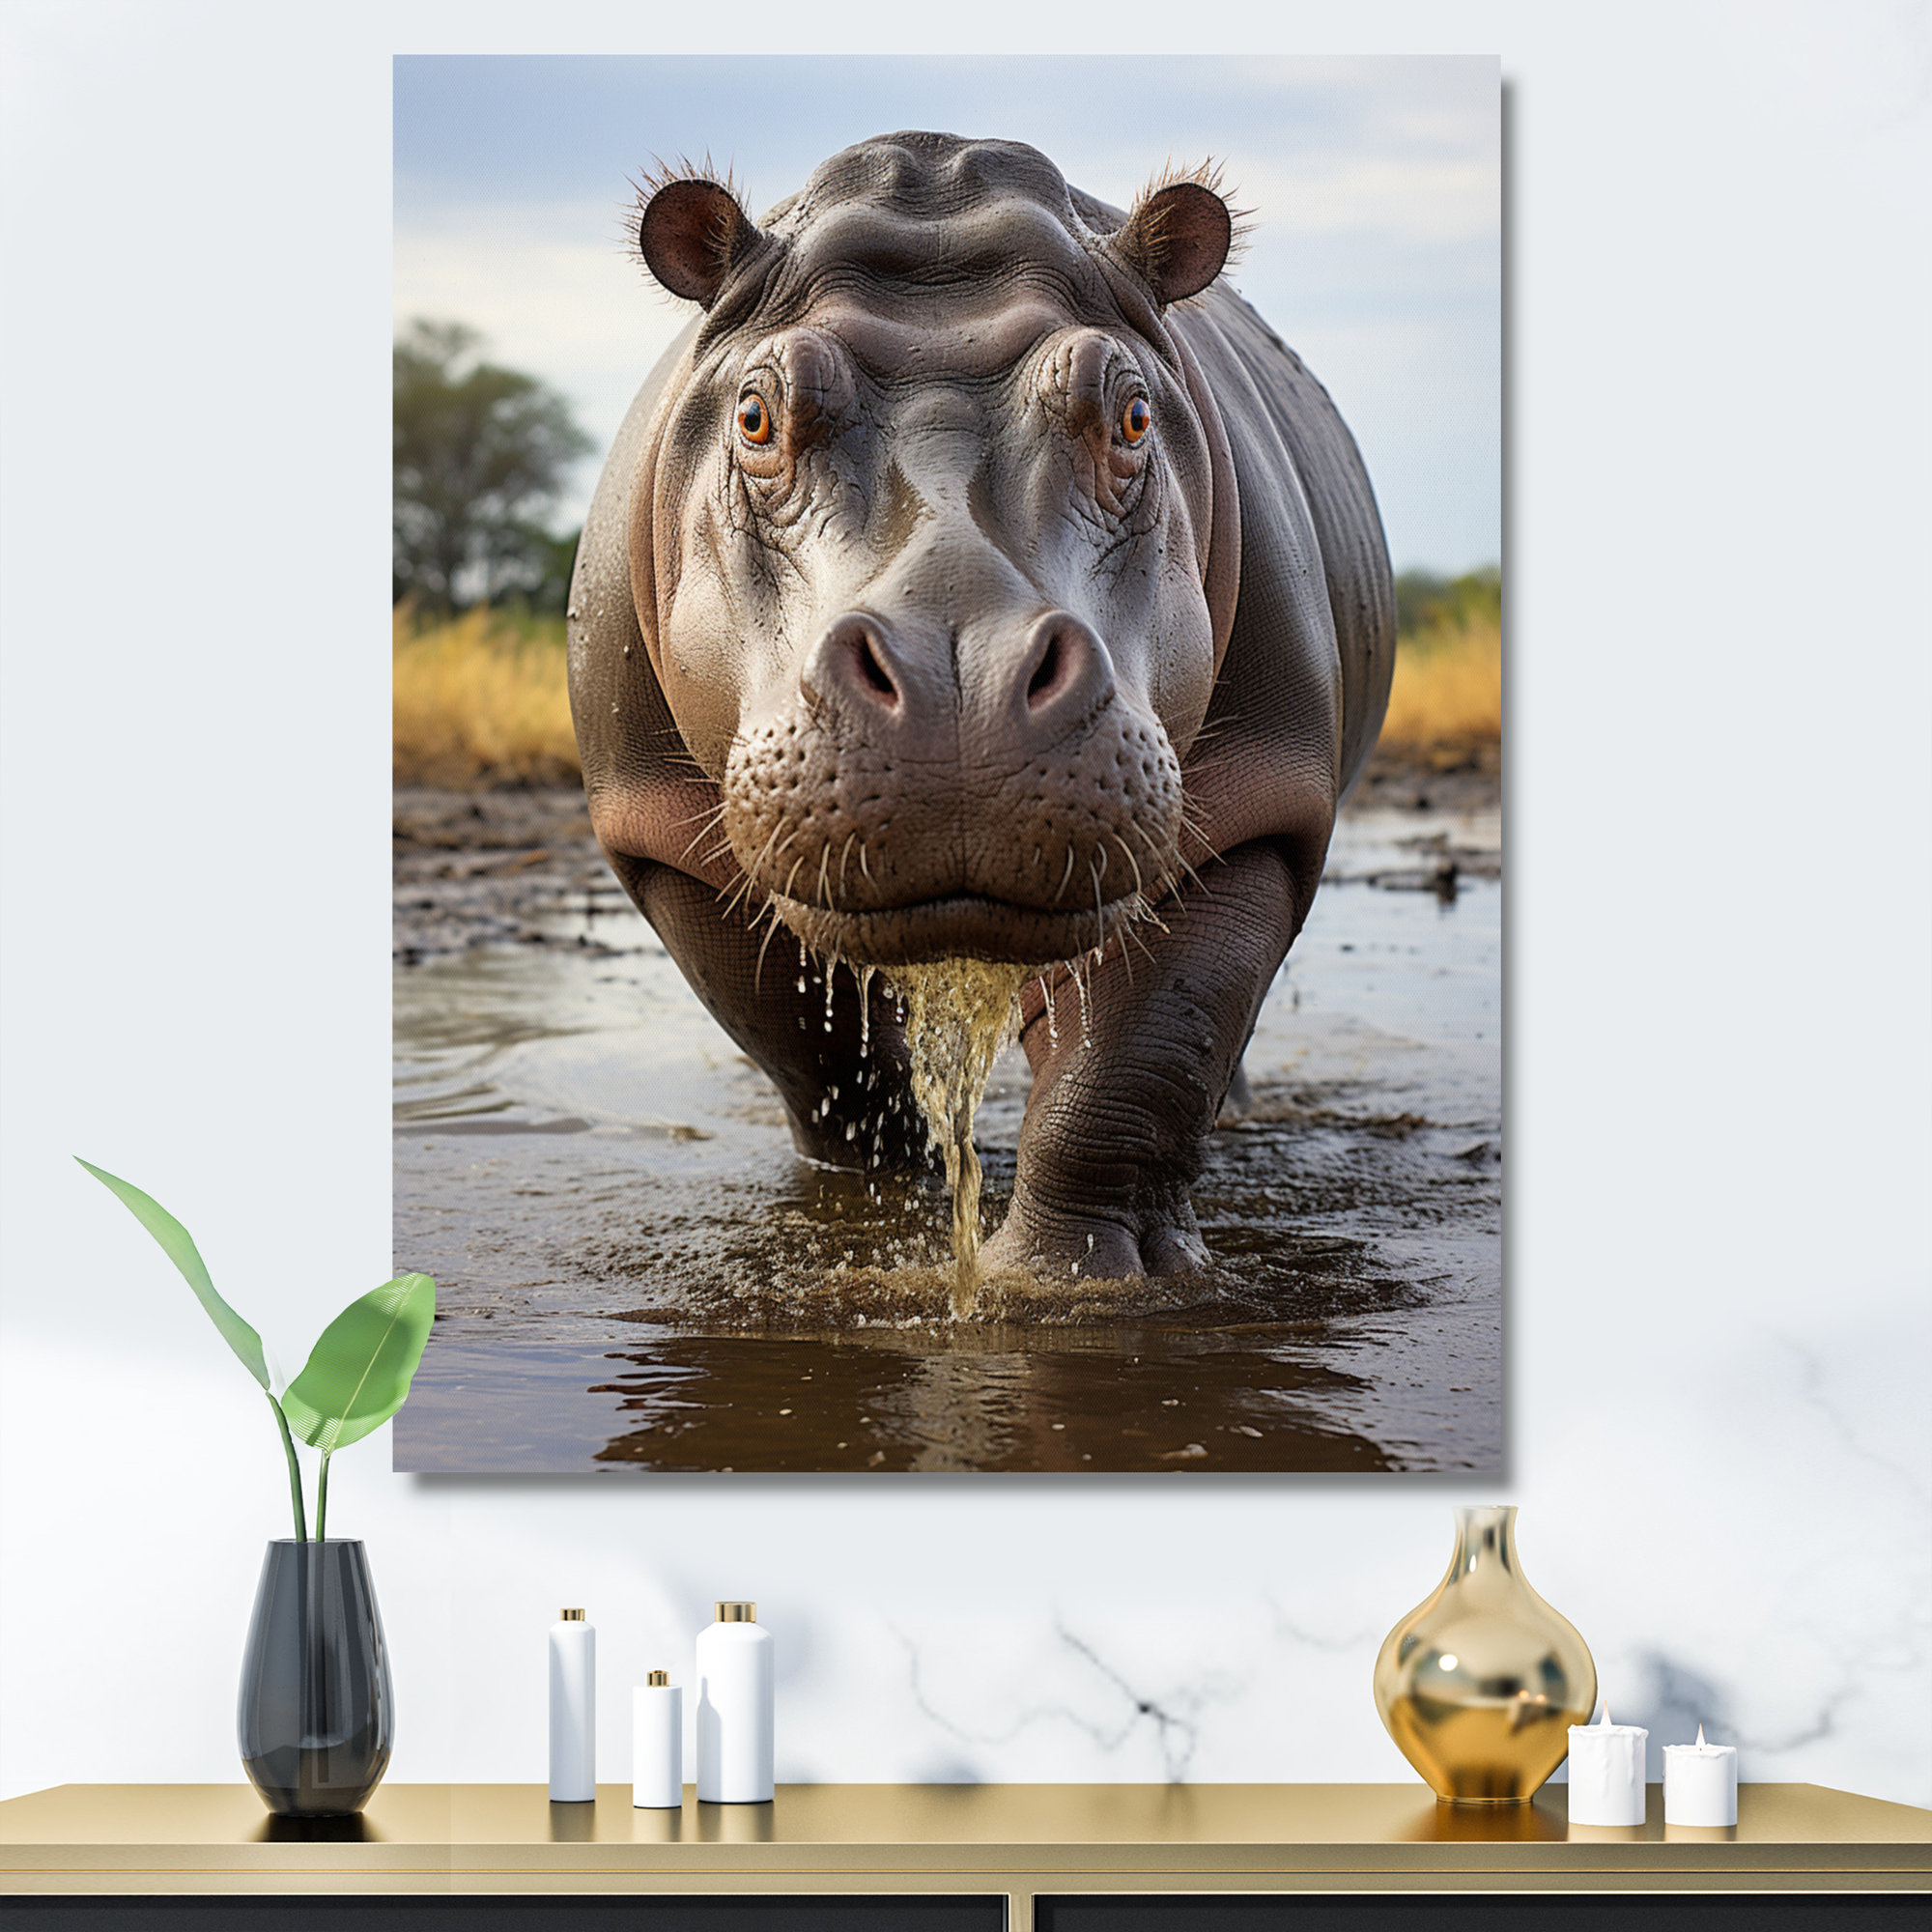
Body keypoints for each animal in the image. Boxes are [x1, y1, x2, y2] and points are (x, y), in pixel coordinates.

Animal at [567, 131, 1394, 1280]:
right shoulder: (661, 836)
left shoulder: (1253, 811)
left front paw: (1066, 1286)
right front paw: (864, 1236)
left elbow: (1134, 1065)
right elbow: (828, 1068)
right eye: (754, 414)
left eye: (1135, 413)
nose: (962, 677)